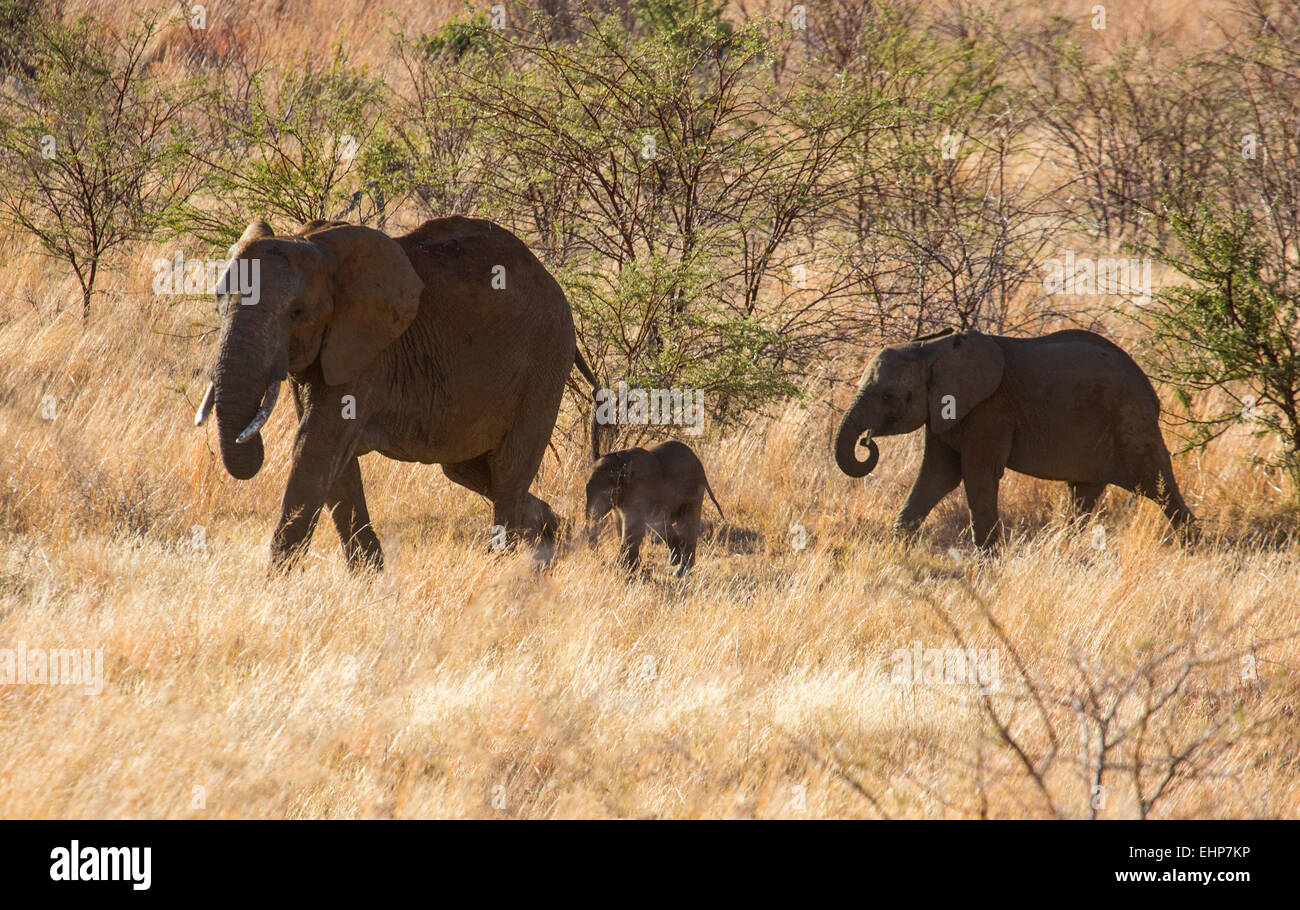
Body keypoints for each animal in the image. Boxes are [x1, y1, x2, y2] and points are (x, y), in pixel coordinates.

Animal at [194, 216, 598, 571]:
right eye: (218, 302)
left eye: (298, 312)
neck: (313, 245)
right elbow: (333, 463)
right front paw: (369, 578)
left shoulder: (368, 351)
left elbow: (315, 446)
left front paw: (279, 584)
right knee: (468, 469)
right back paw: (553, 537)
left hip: (544, 363)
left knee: (509, 471)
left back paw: (500, 567)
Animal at [585, 440, 724, 576]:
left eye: (605, 493)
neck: (619, 462)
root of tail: (700, 465)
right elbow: (621, 525)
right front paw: (632, 568)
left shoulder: (640, 490)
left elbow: (633, 528)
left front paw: (624, 570)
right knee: (665, 523)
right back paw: (677, 564)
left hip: (693, 489)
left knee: (686, 523)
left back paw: (680, 571)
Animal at [833, 328, 1194, 547]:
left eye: (889, 396)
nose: (866, 441)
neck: (930, 349)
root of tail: (1150, 389)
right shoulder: (945, 413)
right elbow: (937, 476)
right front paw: (899, 549)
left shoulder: (990, 411)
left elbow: (976, 475)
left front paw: (987, 564)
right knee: (1084, 494)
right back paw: (1064, 550)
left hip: (1132, 422)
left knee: (1159, 486)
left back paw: (1194, 548)